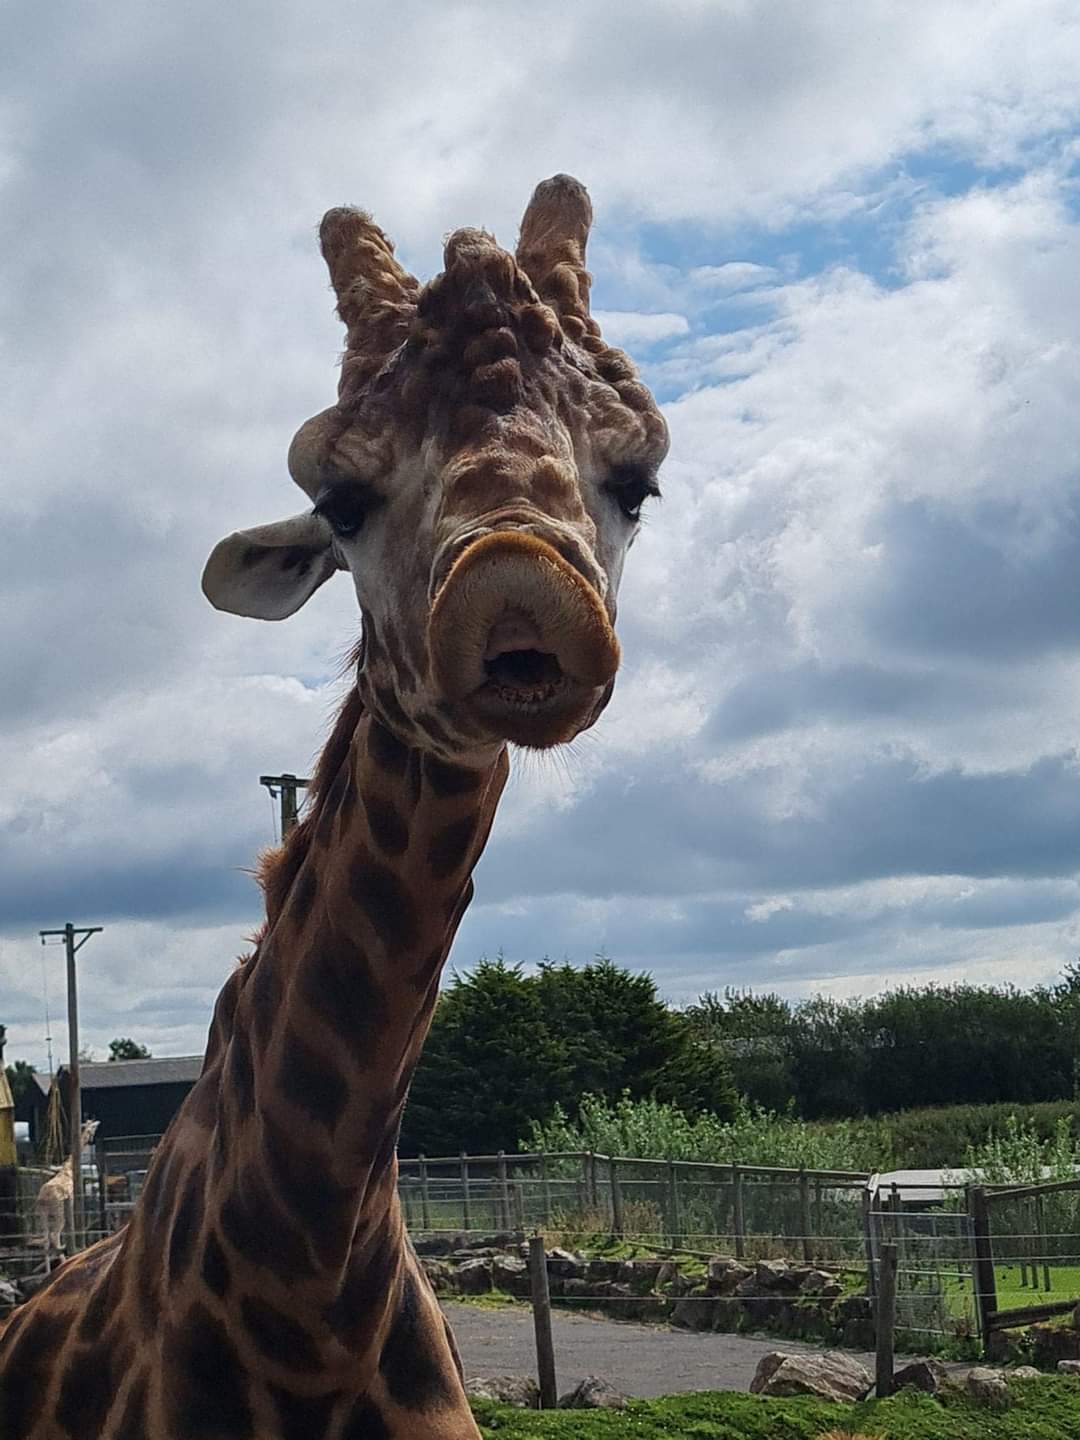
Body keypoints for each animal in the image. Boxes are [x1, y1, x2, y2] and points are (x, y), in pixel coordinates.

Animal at [33, 1121, 100, 1257]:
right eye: (93, 1129)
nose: (91, 1140)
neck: (68, 1169)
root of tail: (43, 1199)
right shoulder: (72, 1201)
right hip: (58, 1213)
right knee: (54, 1236)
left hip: (41, 1215)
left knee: (46, 1241)